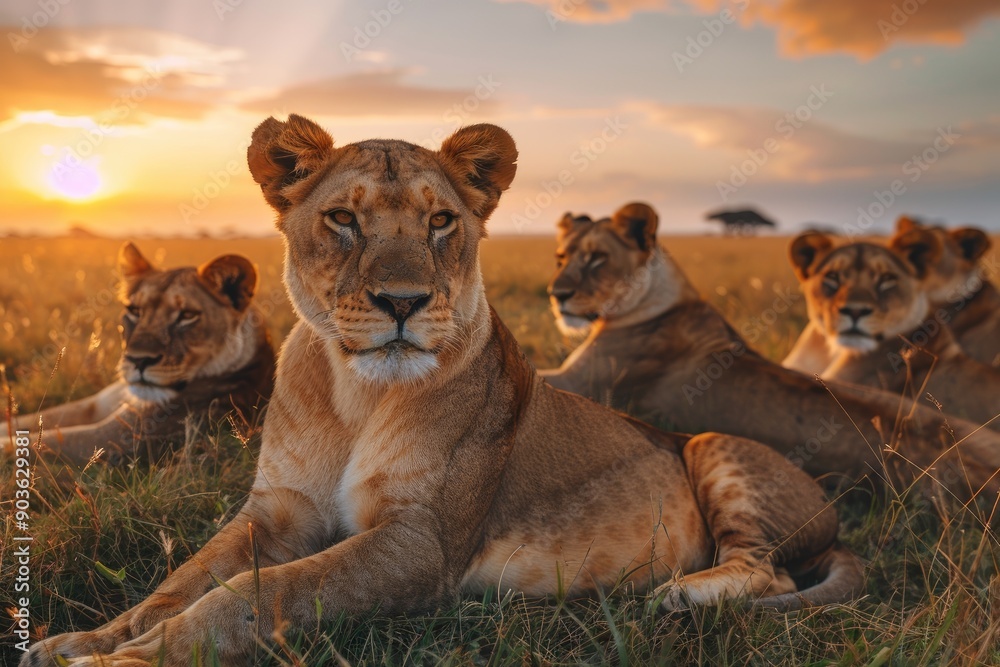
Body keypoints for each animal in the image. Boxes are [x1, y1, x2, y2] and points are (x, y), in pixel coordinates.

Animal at [9, 243, 275, 464]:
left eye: (187, 315)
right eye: (134, 310)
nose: (139, 360)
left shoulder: (115, 438)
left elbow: (27, 444)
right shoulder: (94, 405)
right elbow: (31, 420)